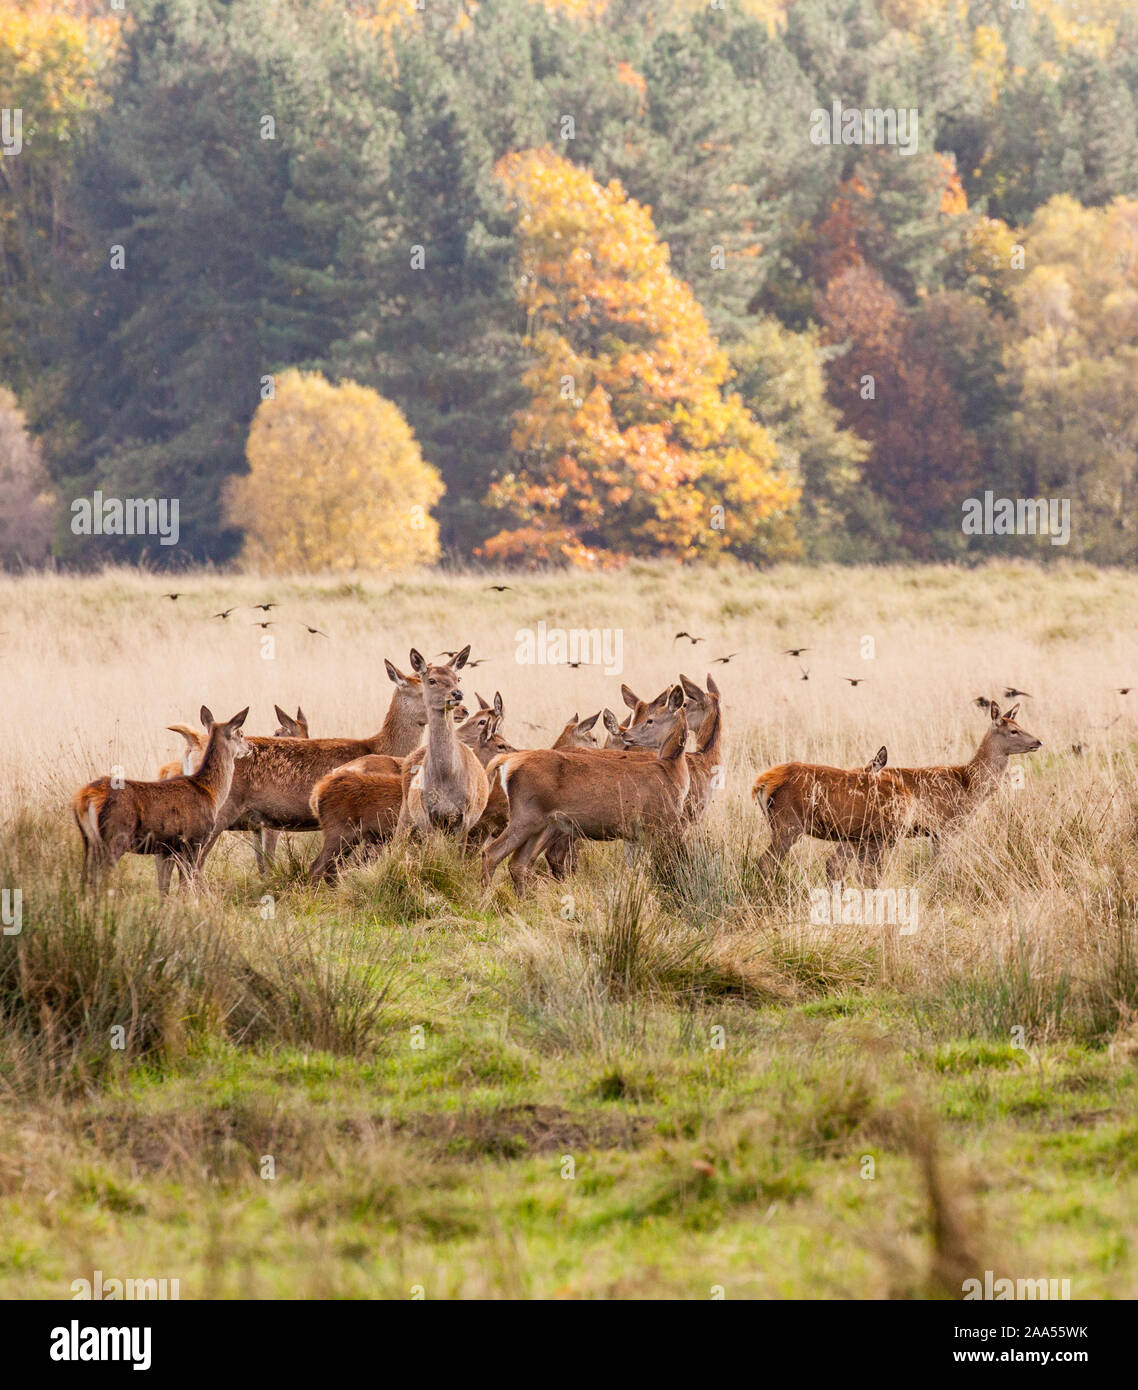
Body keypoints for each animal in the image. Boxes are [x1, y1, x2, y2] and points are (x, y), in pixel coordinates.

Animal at [74, 706, 251, 895]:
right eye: (240, 733)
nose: (250, 747)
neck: (211, 792)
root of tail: (86, 797)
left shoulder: (164, 848)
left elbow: (164, 889)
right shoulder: (193, 840)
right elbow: (187, 884)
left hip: (88, 840)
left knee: (85, 878)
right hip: (115, 836)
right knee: (98, 879)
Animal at [482, 685, 690, 892]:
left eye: (650, 719)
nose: (626, 735)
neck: (672, 771)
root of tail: (509, 761)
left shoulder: (635, 834)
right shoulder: (660, 822)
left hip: (541, 822)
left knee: (518, 862)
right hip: (527, 815)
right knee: (492, 854)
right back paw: (487, 896)